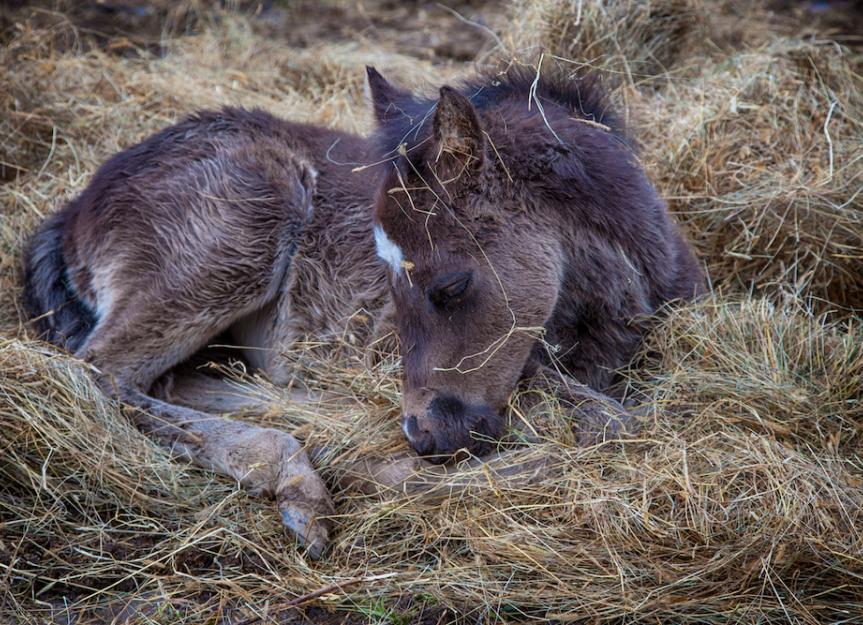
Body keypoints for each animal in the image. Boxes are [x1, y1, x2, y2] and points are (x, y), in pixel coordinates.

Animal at [23, 63, 703, 559]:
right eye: (388, 283)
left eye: (451, 284)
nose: (424, 435)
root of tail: (75, 209)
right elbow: (610, 427)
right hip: (235, 238)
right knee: (99, 373)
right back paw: (305, 477)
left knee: (170, 378)